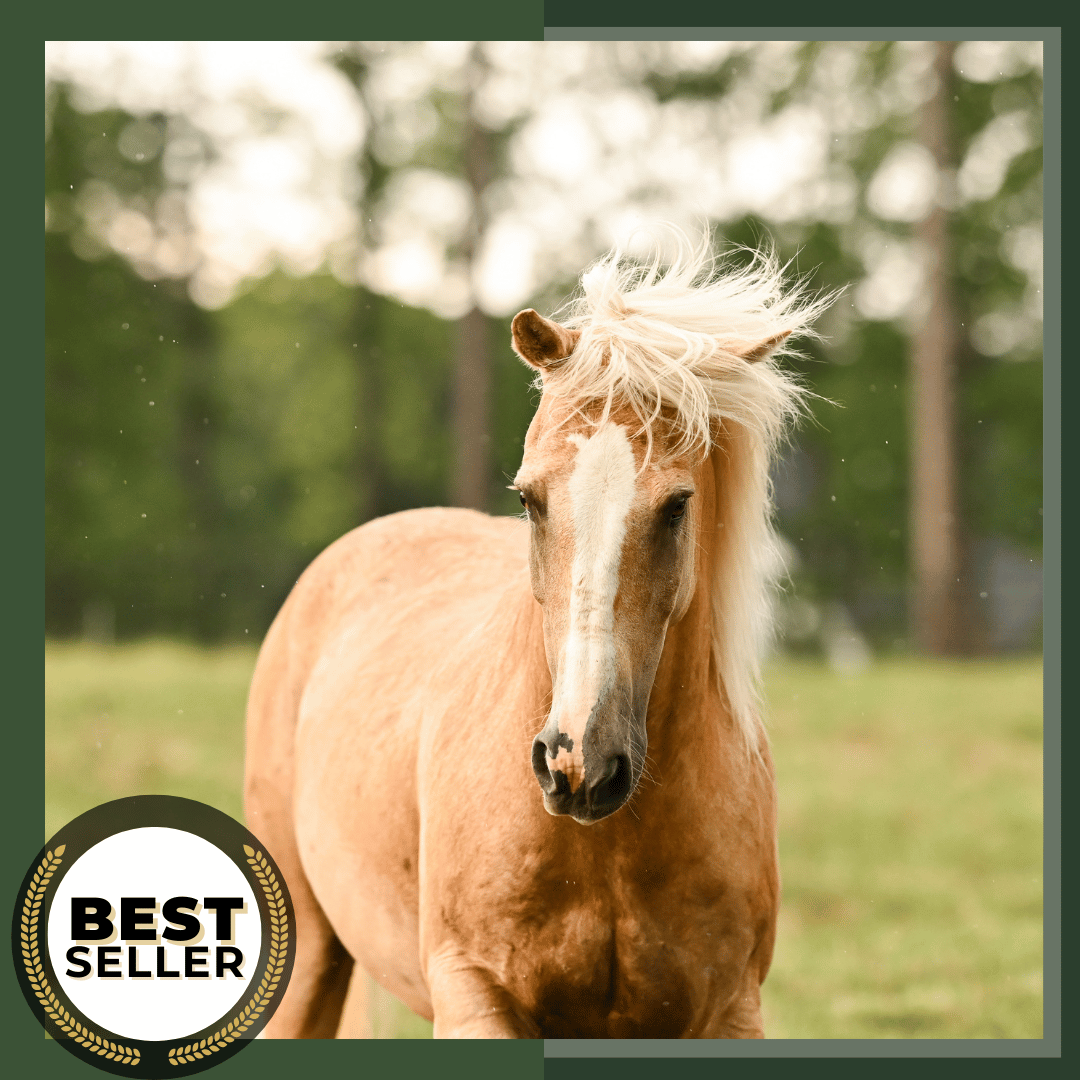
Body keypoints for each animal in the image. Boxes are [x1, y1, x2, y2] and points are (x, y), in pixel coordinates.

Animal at [244, 234, 829, 1038]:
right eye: (529, 499)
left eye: (678, 505)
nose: (579, 760)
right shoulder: (476, 997)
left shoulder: (726, 1011)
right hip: (309, 961)